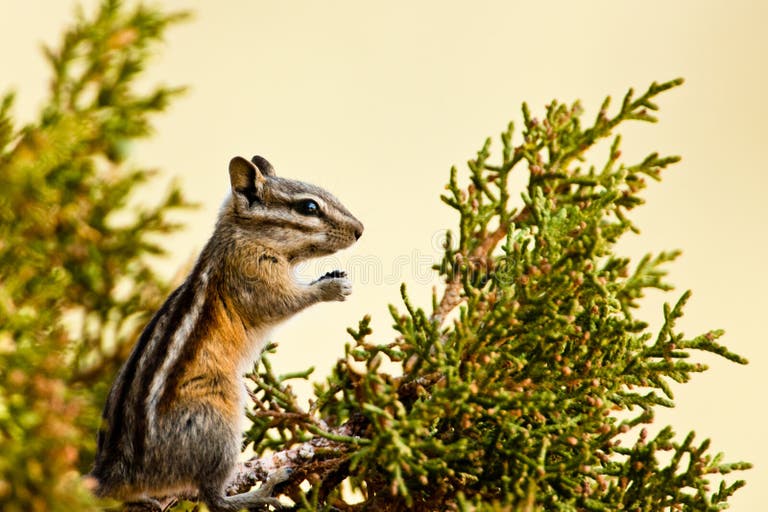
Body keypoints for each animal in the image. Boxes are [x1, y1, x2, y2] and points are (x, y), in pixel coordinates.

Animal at [91, 155, 364, 511]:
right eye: (309, 207)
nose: (360, 230)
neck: (242, 237)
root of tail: (114, 471)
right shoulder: (253, 276)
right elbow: (282, 302)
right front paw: (331, 287)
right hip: (220, 422)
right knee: (214, 498)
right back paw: (261, 491)